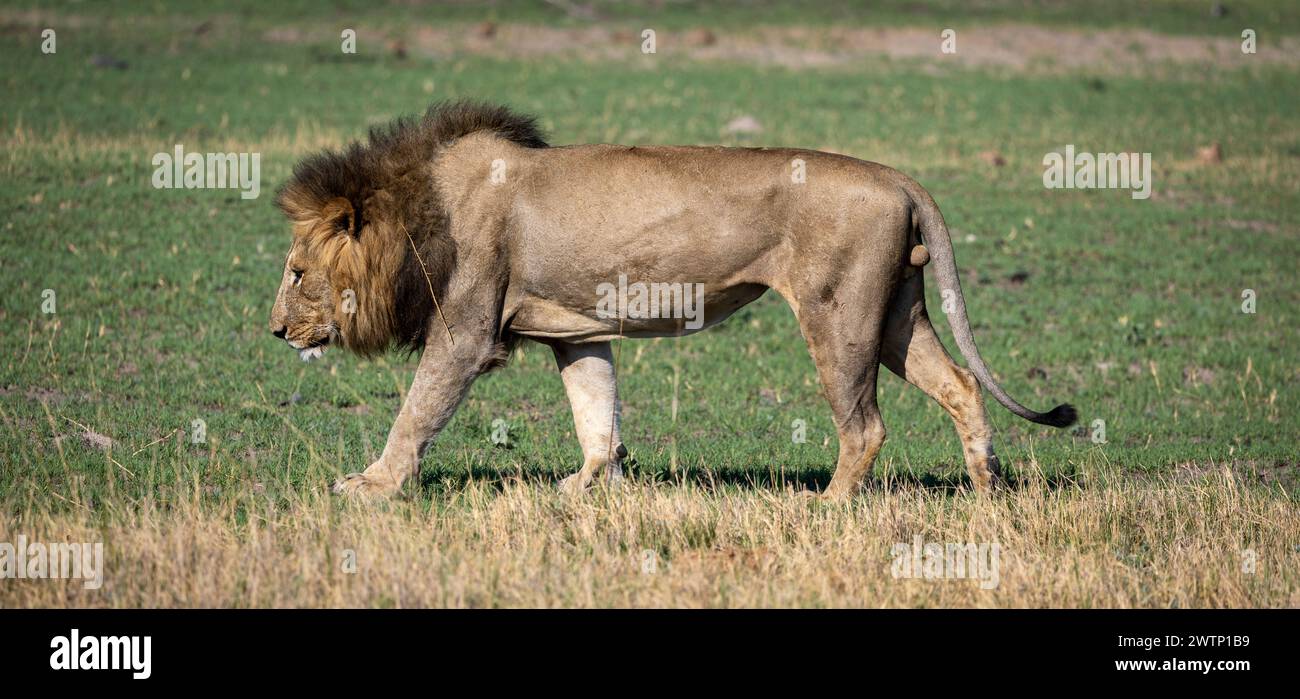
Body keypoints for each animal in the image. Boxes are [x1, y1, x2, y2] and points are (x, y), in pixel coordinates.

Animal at [269, 100, 1076, 498]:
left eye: (297, 273)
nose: (276, 331)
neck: (420, 212)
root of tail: (899, 175)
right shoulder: (576, 327)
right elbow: (595, 409)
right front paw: (588, 486)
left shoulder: (465, 328)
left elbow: (417, 412)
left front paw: (370, 486)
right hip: (897, 313)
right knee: (962, 384)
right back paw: (987, 490)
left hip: (838, 313)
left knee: (865, 426)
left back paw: (828, 506)